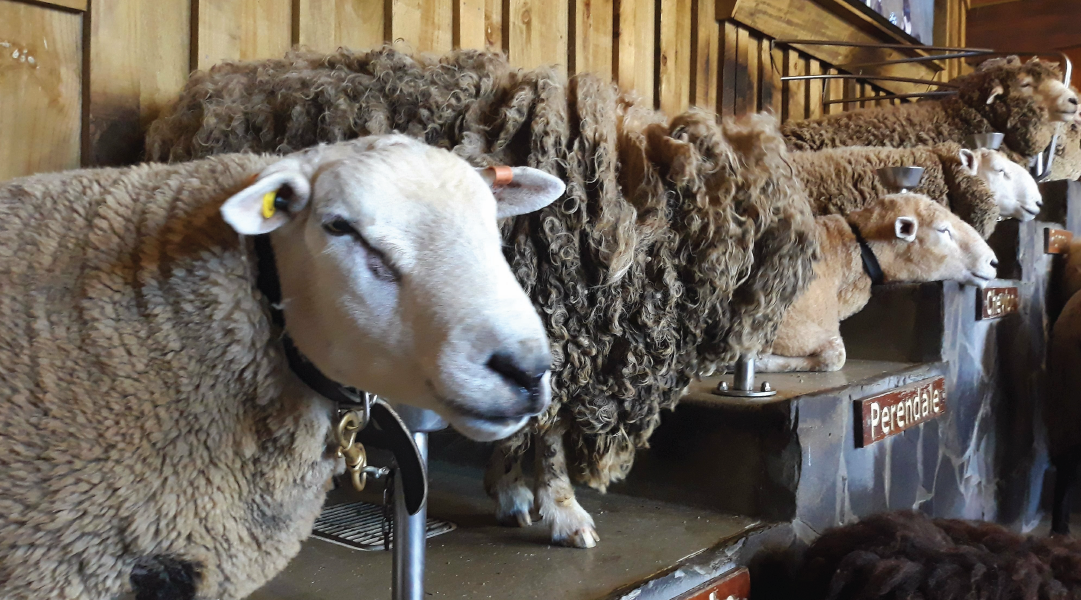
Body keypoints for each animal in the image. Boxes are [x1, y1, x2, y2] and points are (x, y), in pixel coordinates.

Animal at [144, 46, 818, 549]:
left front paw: (513, 492)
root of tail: (197, 93)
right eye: (744, 197)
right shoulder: (548, 328)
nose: (805, 255)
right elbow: (546, 433)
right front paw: (562, 510)